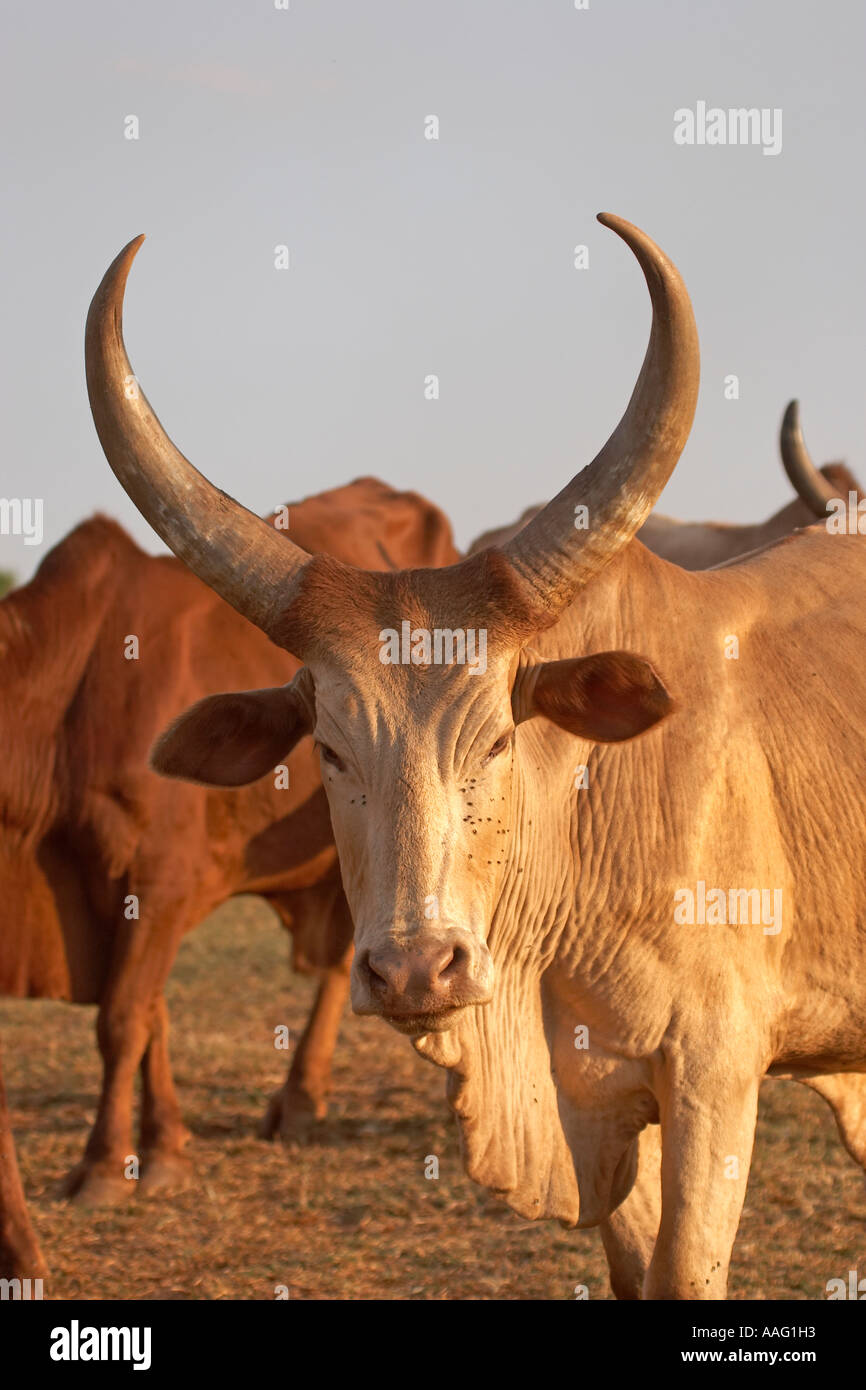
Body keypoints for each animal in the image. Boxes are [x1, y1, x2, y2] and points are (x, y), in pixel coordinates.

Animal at [0, 480, 458, 1207]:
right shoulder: (127, 897)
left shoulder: (161, 880)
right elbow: (149, 1015)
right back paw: (299, 1100)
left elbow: (121, 1019)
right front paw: (164, 1145)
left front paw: (104, 1164)